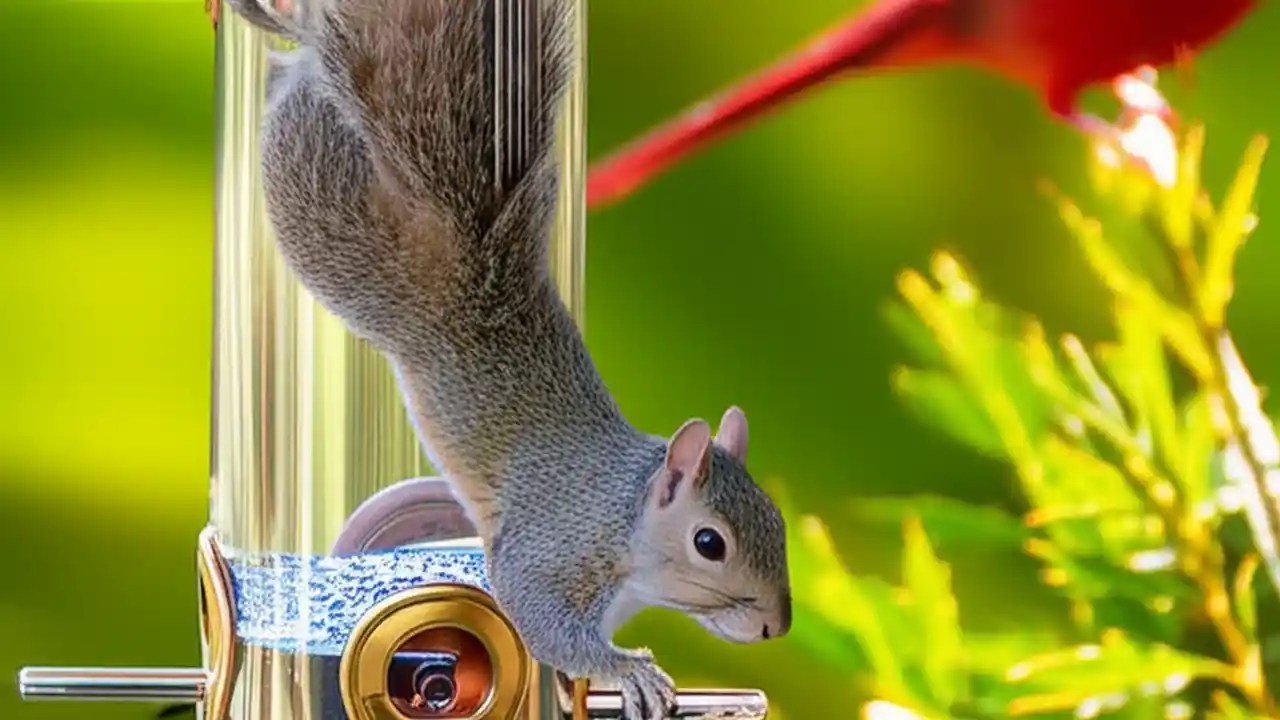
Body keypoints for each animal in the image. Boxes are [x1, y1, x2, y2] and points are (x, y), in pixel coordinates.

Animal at [221, 1, 793, 717]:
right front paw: (630, 670)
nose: (776, 624)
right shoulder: (555, 545)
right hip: (324, 213)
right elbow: (541, 618)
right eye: (709, 544)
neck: (624, 512)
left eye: (777, 520)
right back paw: (291, 43)